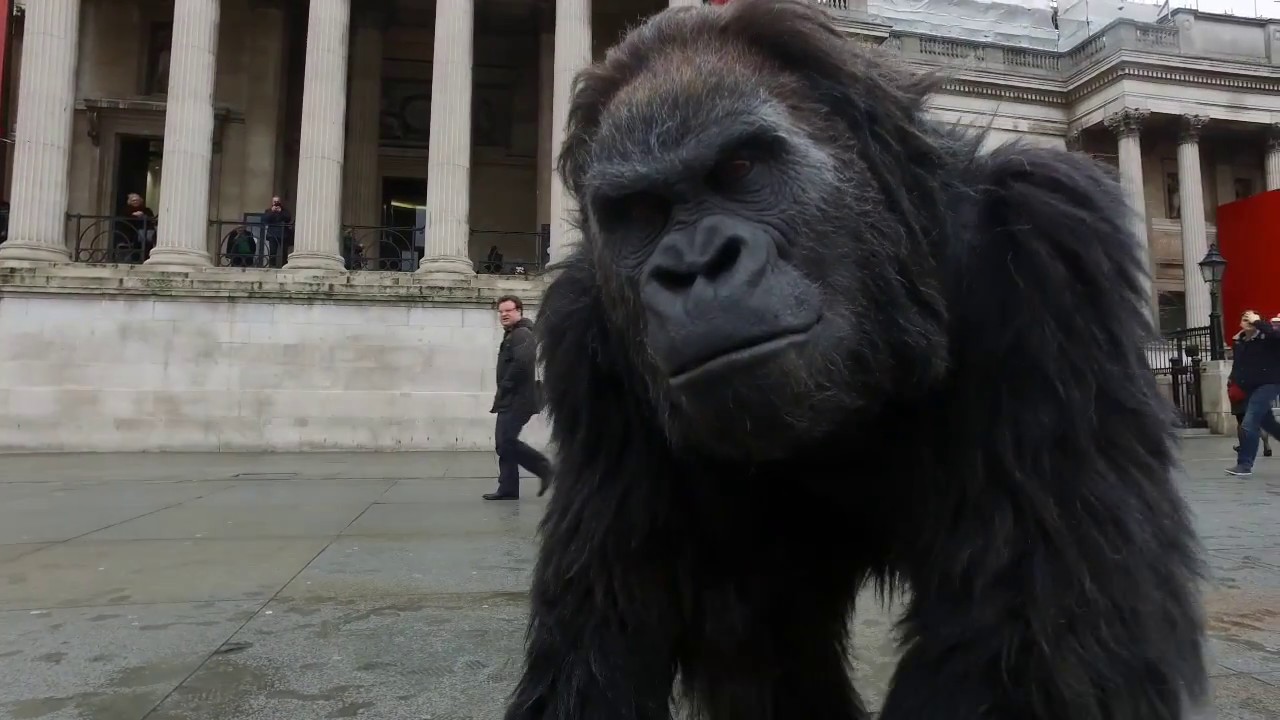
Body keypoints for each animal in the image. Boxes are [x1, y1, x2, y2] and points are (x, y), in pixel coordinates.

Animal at [506, 2, 1209, 719]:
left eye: (739, 169)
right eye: (641, 211)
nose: (694, 266)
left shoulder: (1050, 255)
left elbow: (1036, 641)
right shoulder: (586, 350)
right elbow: (609, 628)